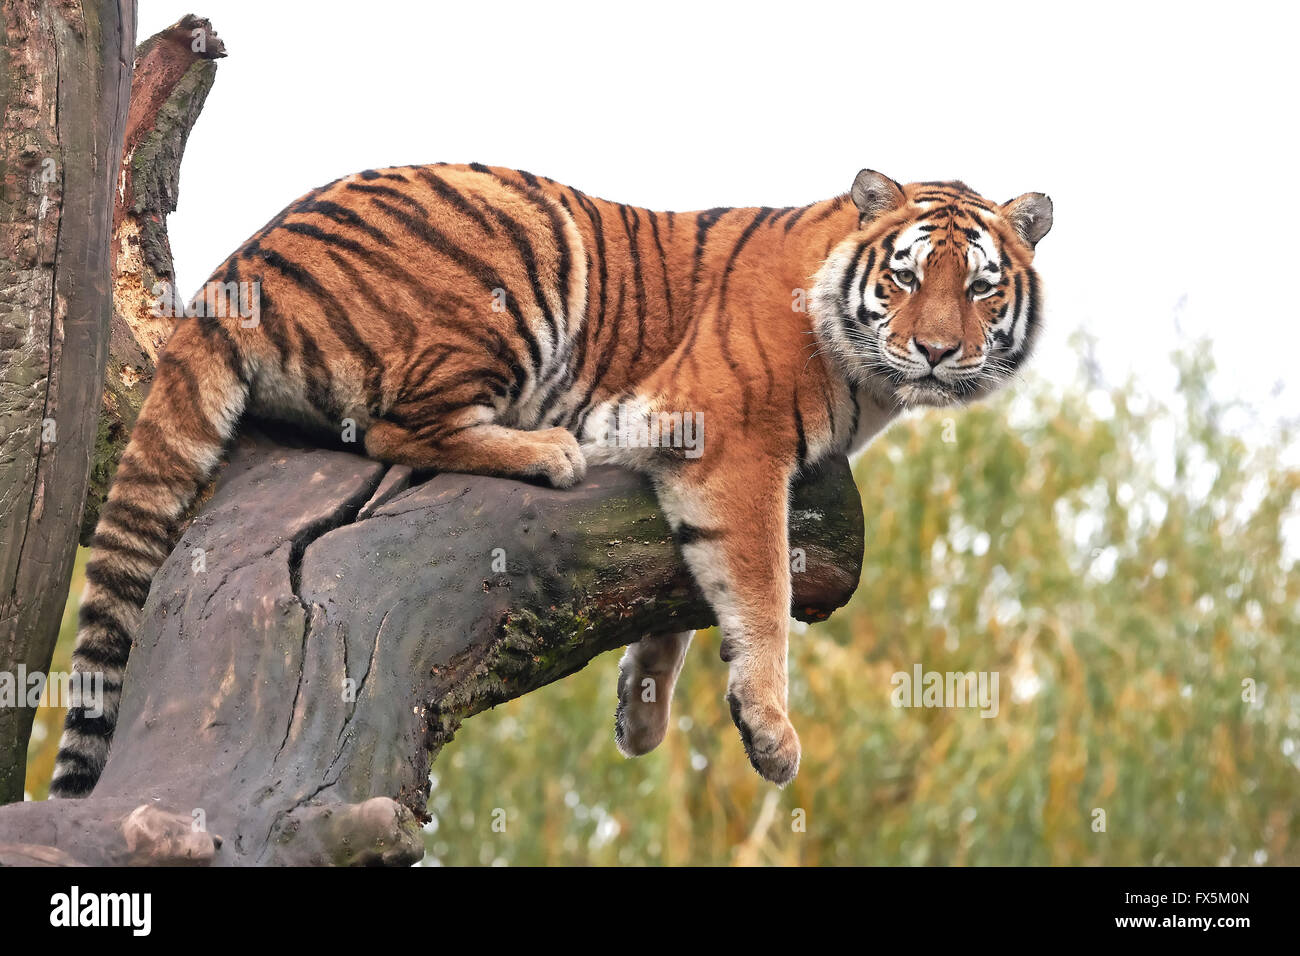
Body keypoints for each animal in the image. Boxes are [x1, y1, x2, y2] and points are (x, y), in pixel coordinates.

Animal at [50, 163, 1051, 796]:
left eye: (981, 287)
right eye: (908, 276)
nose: (937, 351)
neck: (867, 375)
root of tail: (240, 264)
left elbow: (691, 591)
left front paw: (640, 716)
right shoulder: (726, 438)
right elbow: (761, 586)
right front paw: (770, 730)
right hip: (523, 247)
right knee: (395, 426)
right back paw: (547, 451)